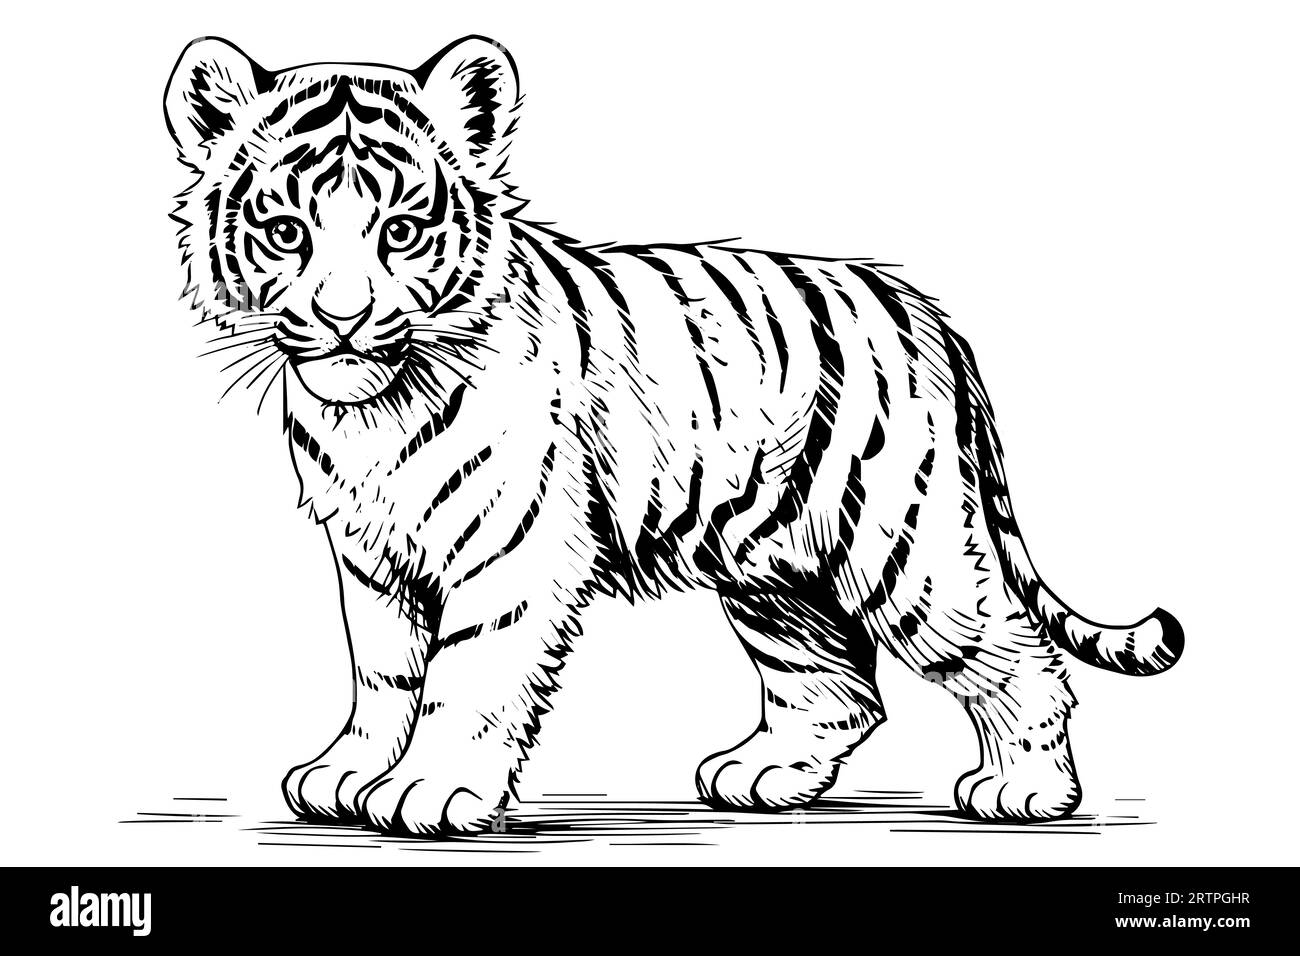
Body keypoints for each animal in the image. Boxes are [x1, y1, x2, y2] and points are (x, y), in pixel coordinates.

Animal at [164, 35, 1184, 836]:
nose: (342, 319)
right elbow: (383, 676)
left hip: (907, 547)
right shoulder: (375, 557)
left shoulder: (510, 554)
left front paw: (431, 790)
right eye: (285, 231)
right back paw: (763, 777)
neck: (372, 410)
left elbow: (468, 676)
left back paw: (1024, 789)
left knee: (1014, 655)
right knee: (839, 691)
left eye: (404, 230)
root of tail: (920, 311)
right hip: (774, 572)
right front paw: (347, 775)